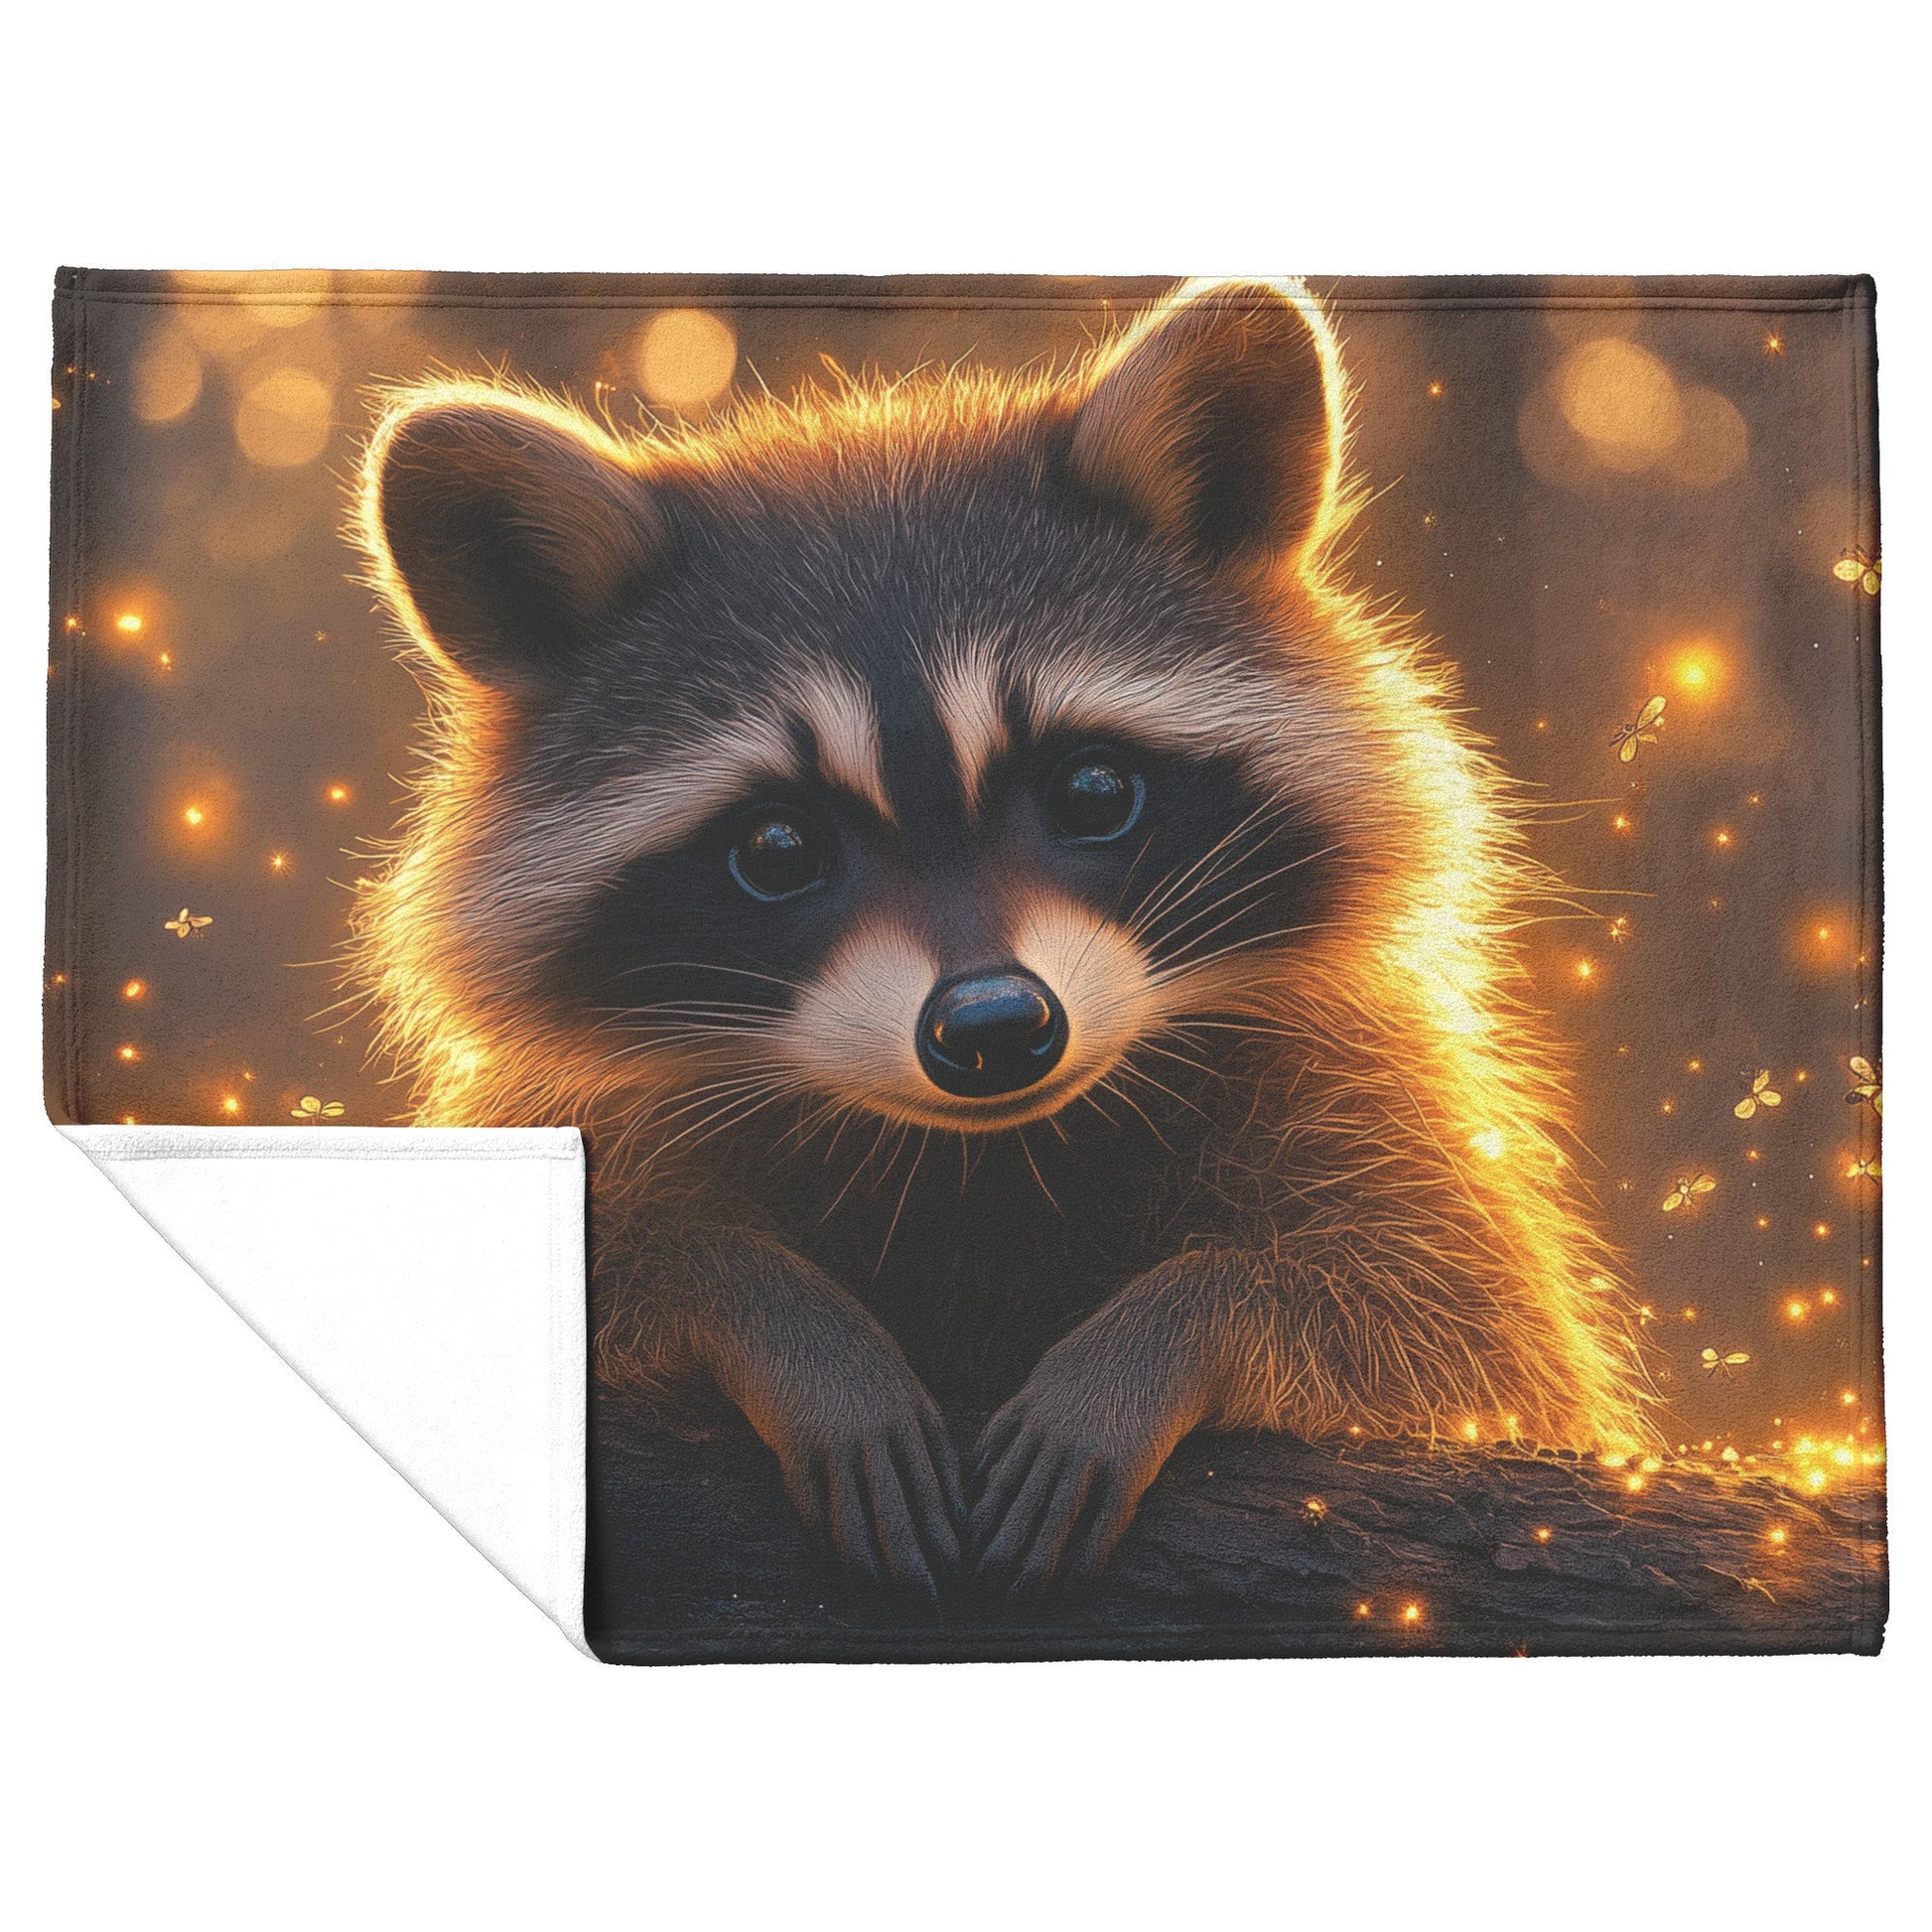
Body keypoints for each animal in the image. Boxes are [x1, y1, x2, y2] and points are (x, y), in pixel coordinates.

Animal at [351, 278, 1651, 1602]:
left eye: (1090, 791)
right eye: (778, 848)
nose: (990, 1028)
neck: (979, 1151)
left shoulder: (1361, 1089)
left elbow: (1465, 1339)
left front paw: (1173, 1328)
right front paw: (771, 1312)